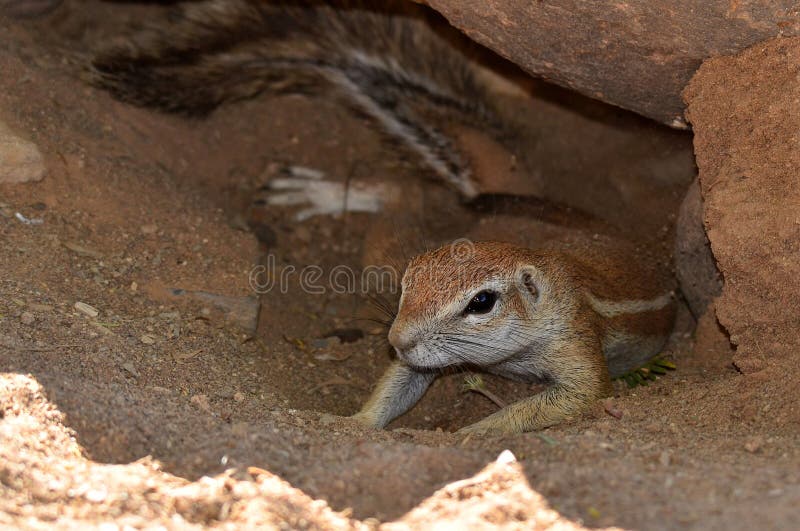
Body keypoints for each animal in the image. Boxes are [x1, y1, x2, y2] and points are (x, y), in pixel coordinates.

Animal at [353, 215, 676, 434]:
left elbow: (586, 389)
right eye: (409, 277)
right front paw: (355, 422)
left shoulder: (574, 337)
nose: (396, 340)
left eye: (482, 302)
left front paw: (474, 432)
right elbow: (398, 381)